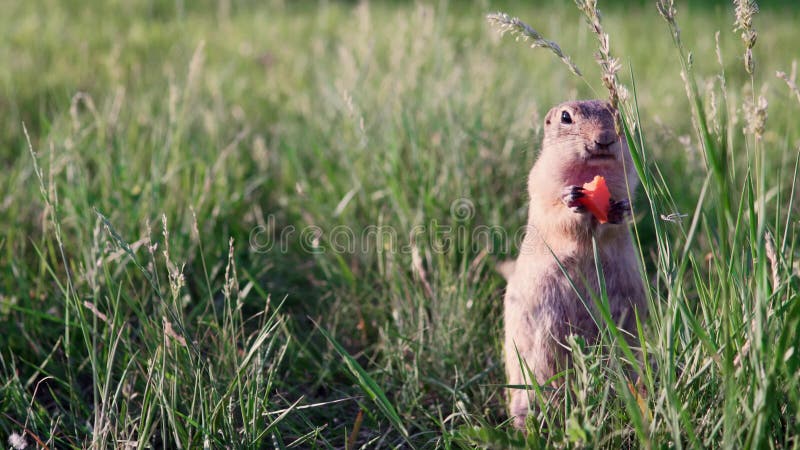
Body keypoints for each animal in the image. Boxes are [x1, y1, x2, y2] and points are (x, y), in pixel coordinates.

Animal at [502, 100, 647, 430]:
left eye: (615, 111)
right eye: (566, 117)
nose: (605, 138)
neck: (591, 171)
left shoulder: (626, 182)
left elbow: (618, 218)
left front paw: (619, 210)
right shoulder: (541, 182)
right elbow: (557, 214)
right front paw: (573, 201)